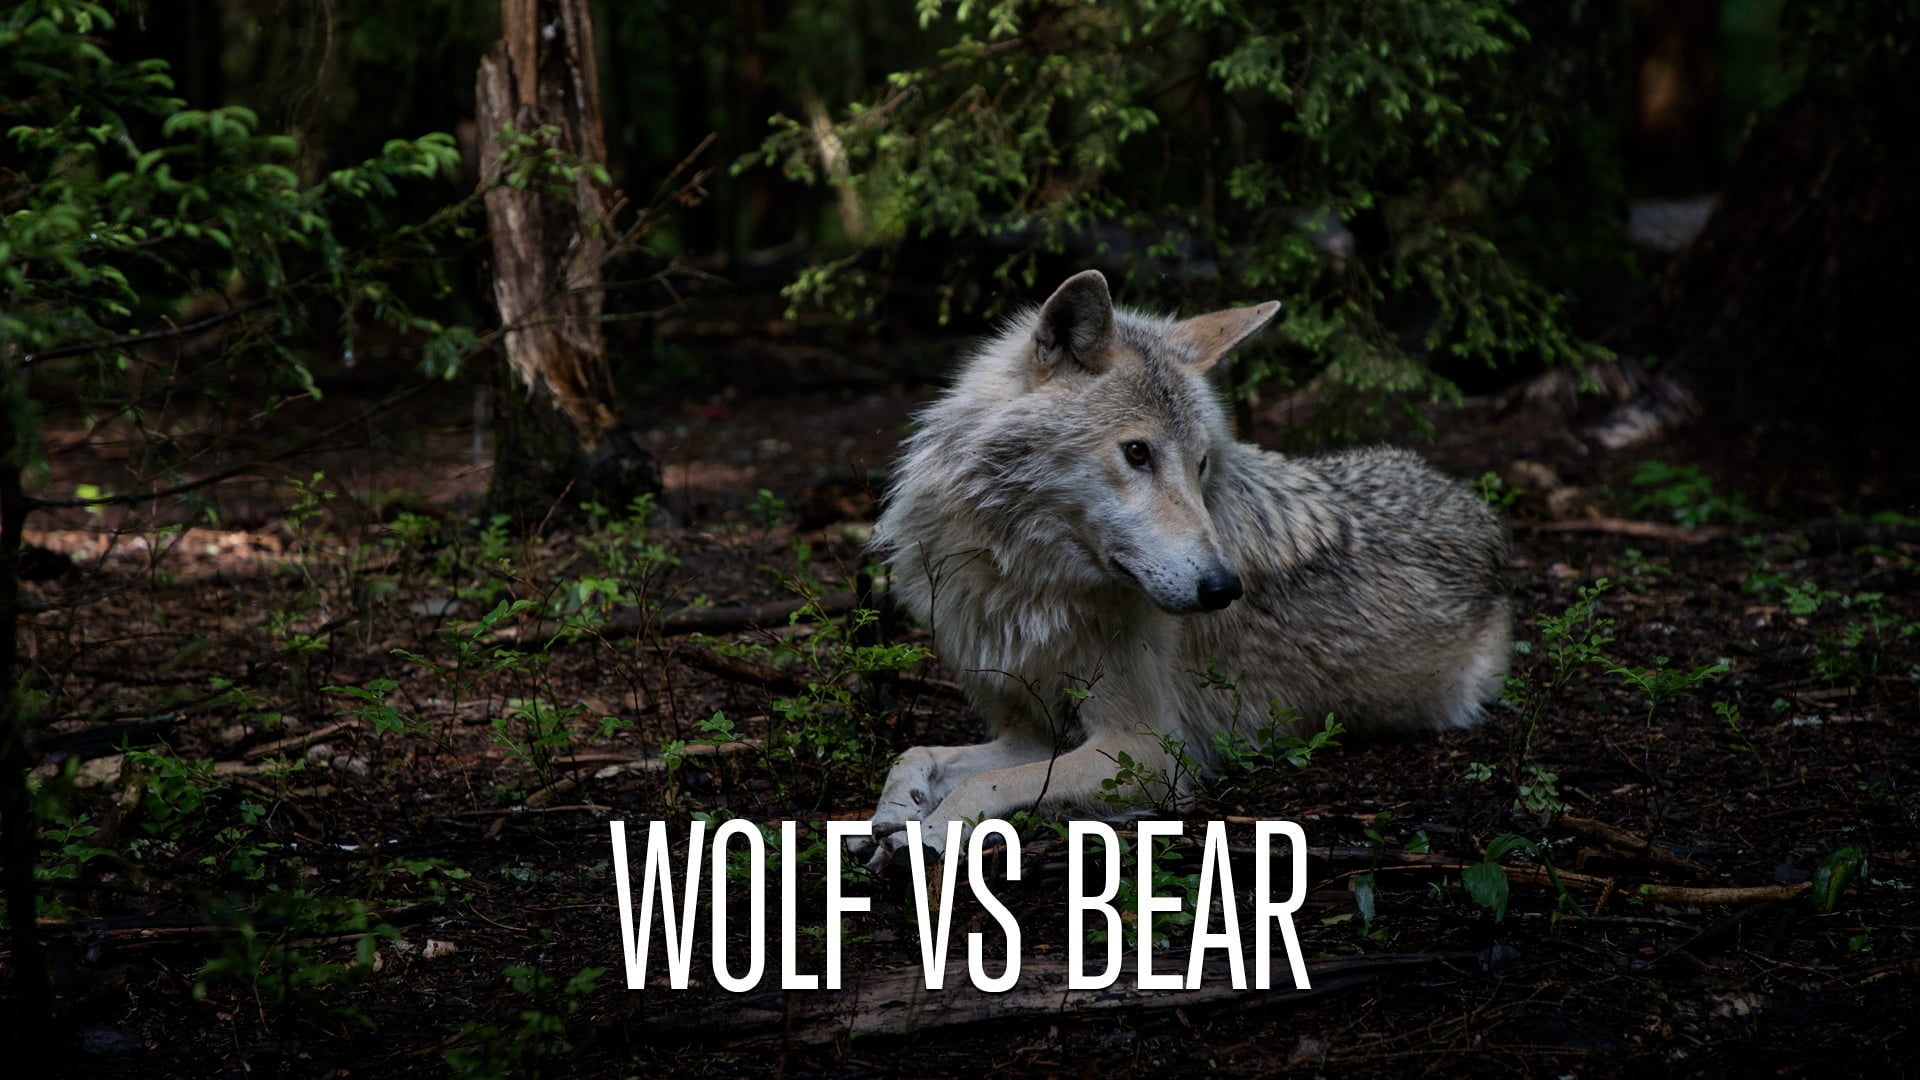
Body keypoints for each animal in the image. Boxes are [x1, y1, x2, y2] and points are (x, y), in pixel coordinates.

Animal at [858, 270, 1510, 868]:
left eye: (1200, 463)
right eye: (1137, 452)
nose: (1224, 588)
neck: (1028, 579)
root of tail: (1476, 509)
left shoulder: (1148, 752)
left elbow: (986, 784)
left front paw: (928, 832)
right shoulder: (1029, 733)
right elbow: (914, 755)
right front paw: (891, 815)